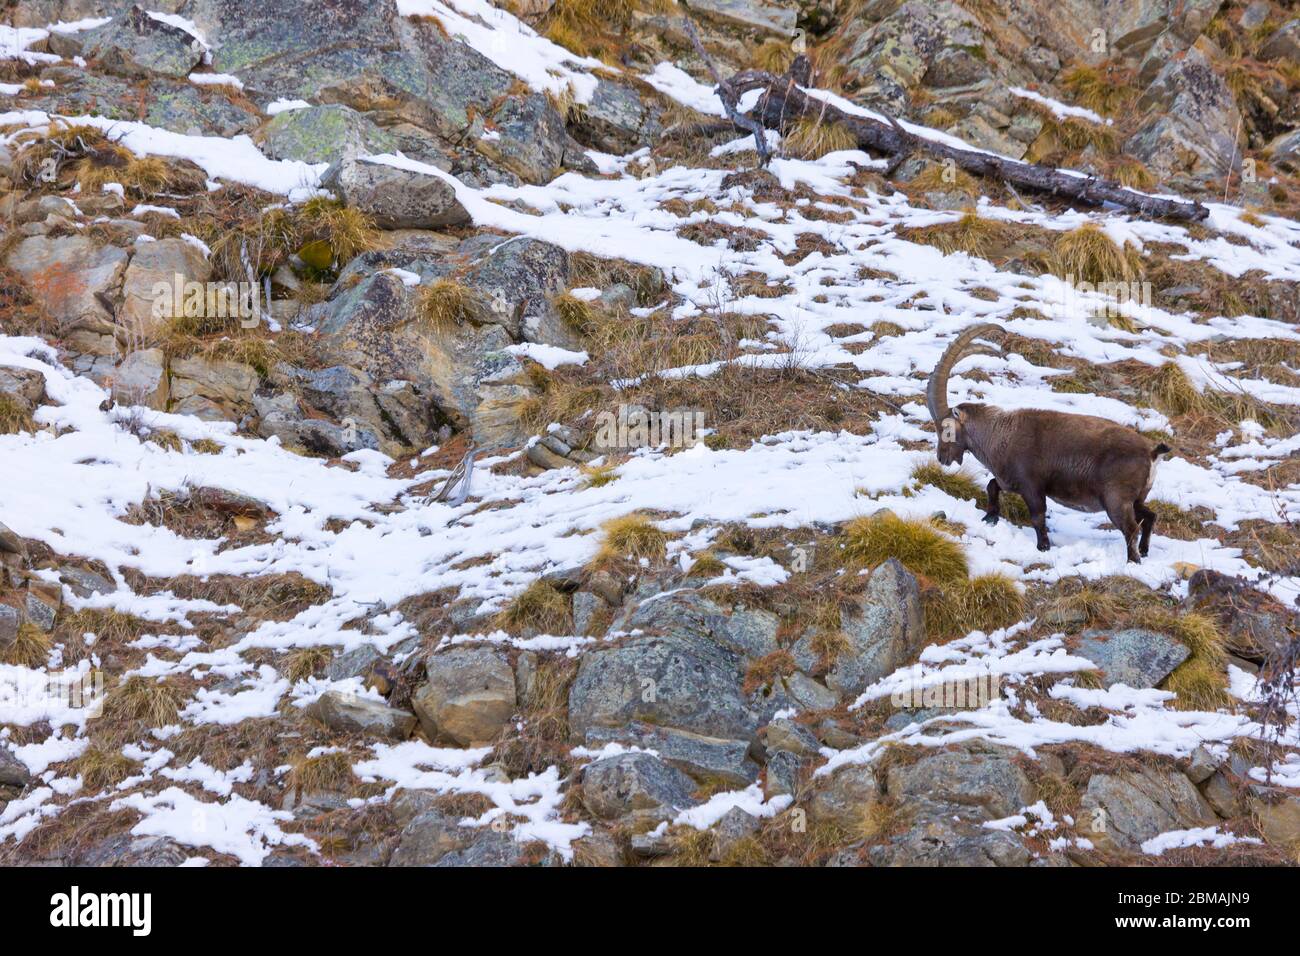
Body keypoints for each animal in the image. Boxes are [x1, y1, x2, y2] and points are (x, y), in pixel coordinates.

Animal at [927, 323, 1171, 563]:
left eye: (946, 429)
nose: (942, 457)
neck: (999, 434)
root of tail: (1151, 452)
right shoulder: (1010, 481)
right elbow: (992, 485)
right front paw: (990, 516)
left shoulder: (1032, 486)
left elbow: (1037, 516)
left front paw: (1043, 547)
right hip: (1136, 498)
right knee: (1150, 516)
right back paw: (1144, 550)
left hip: (1116, 500)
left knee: (1131, 528)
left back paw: (1132, 561)